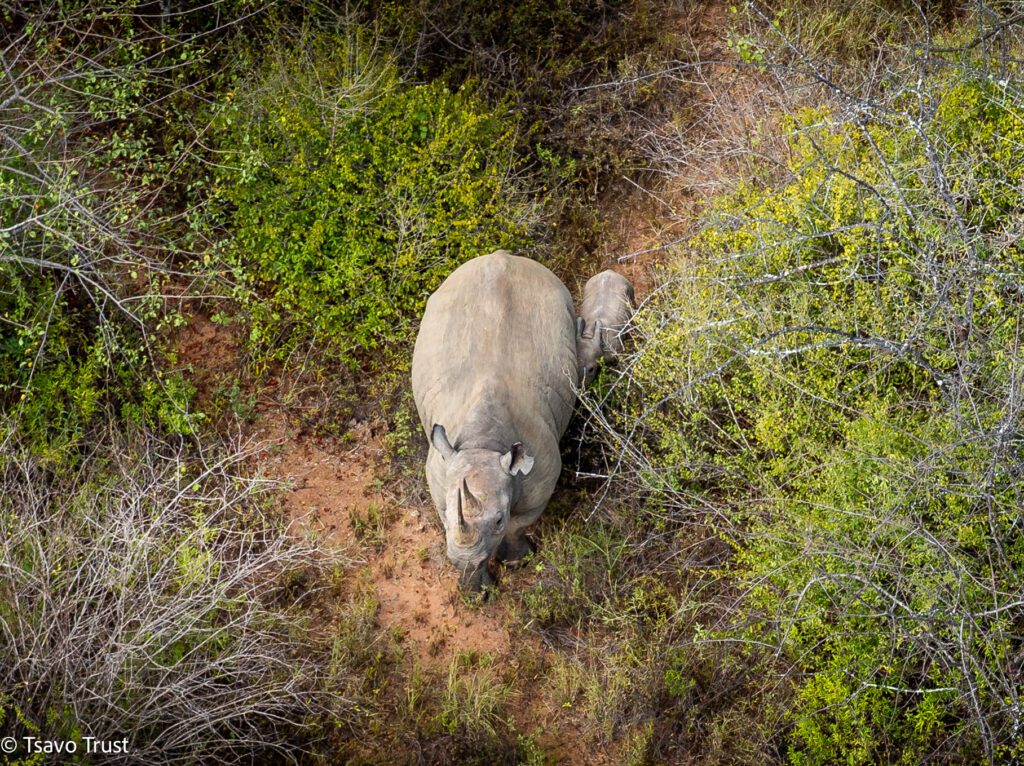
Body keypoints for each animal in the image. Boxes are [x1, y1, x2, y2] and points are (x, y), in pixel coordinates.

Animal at [411, 250, 578, 590]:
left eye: (498, 519)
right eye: (449, 516)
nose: (460, 559)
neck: (484, 443)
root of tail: (505, 254)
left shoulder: (540, 480)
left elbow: (518, 524)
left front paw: (516, 561)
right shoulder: (441, 477)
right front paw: (476, 589)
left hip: (557, 294)